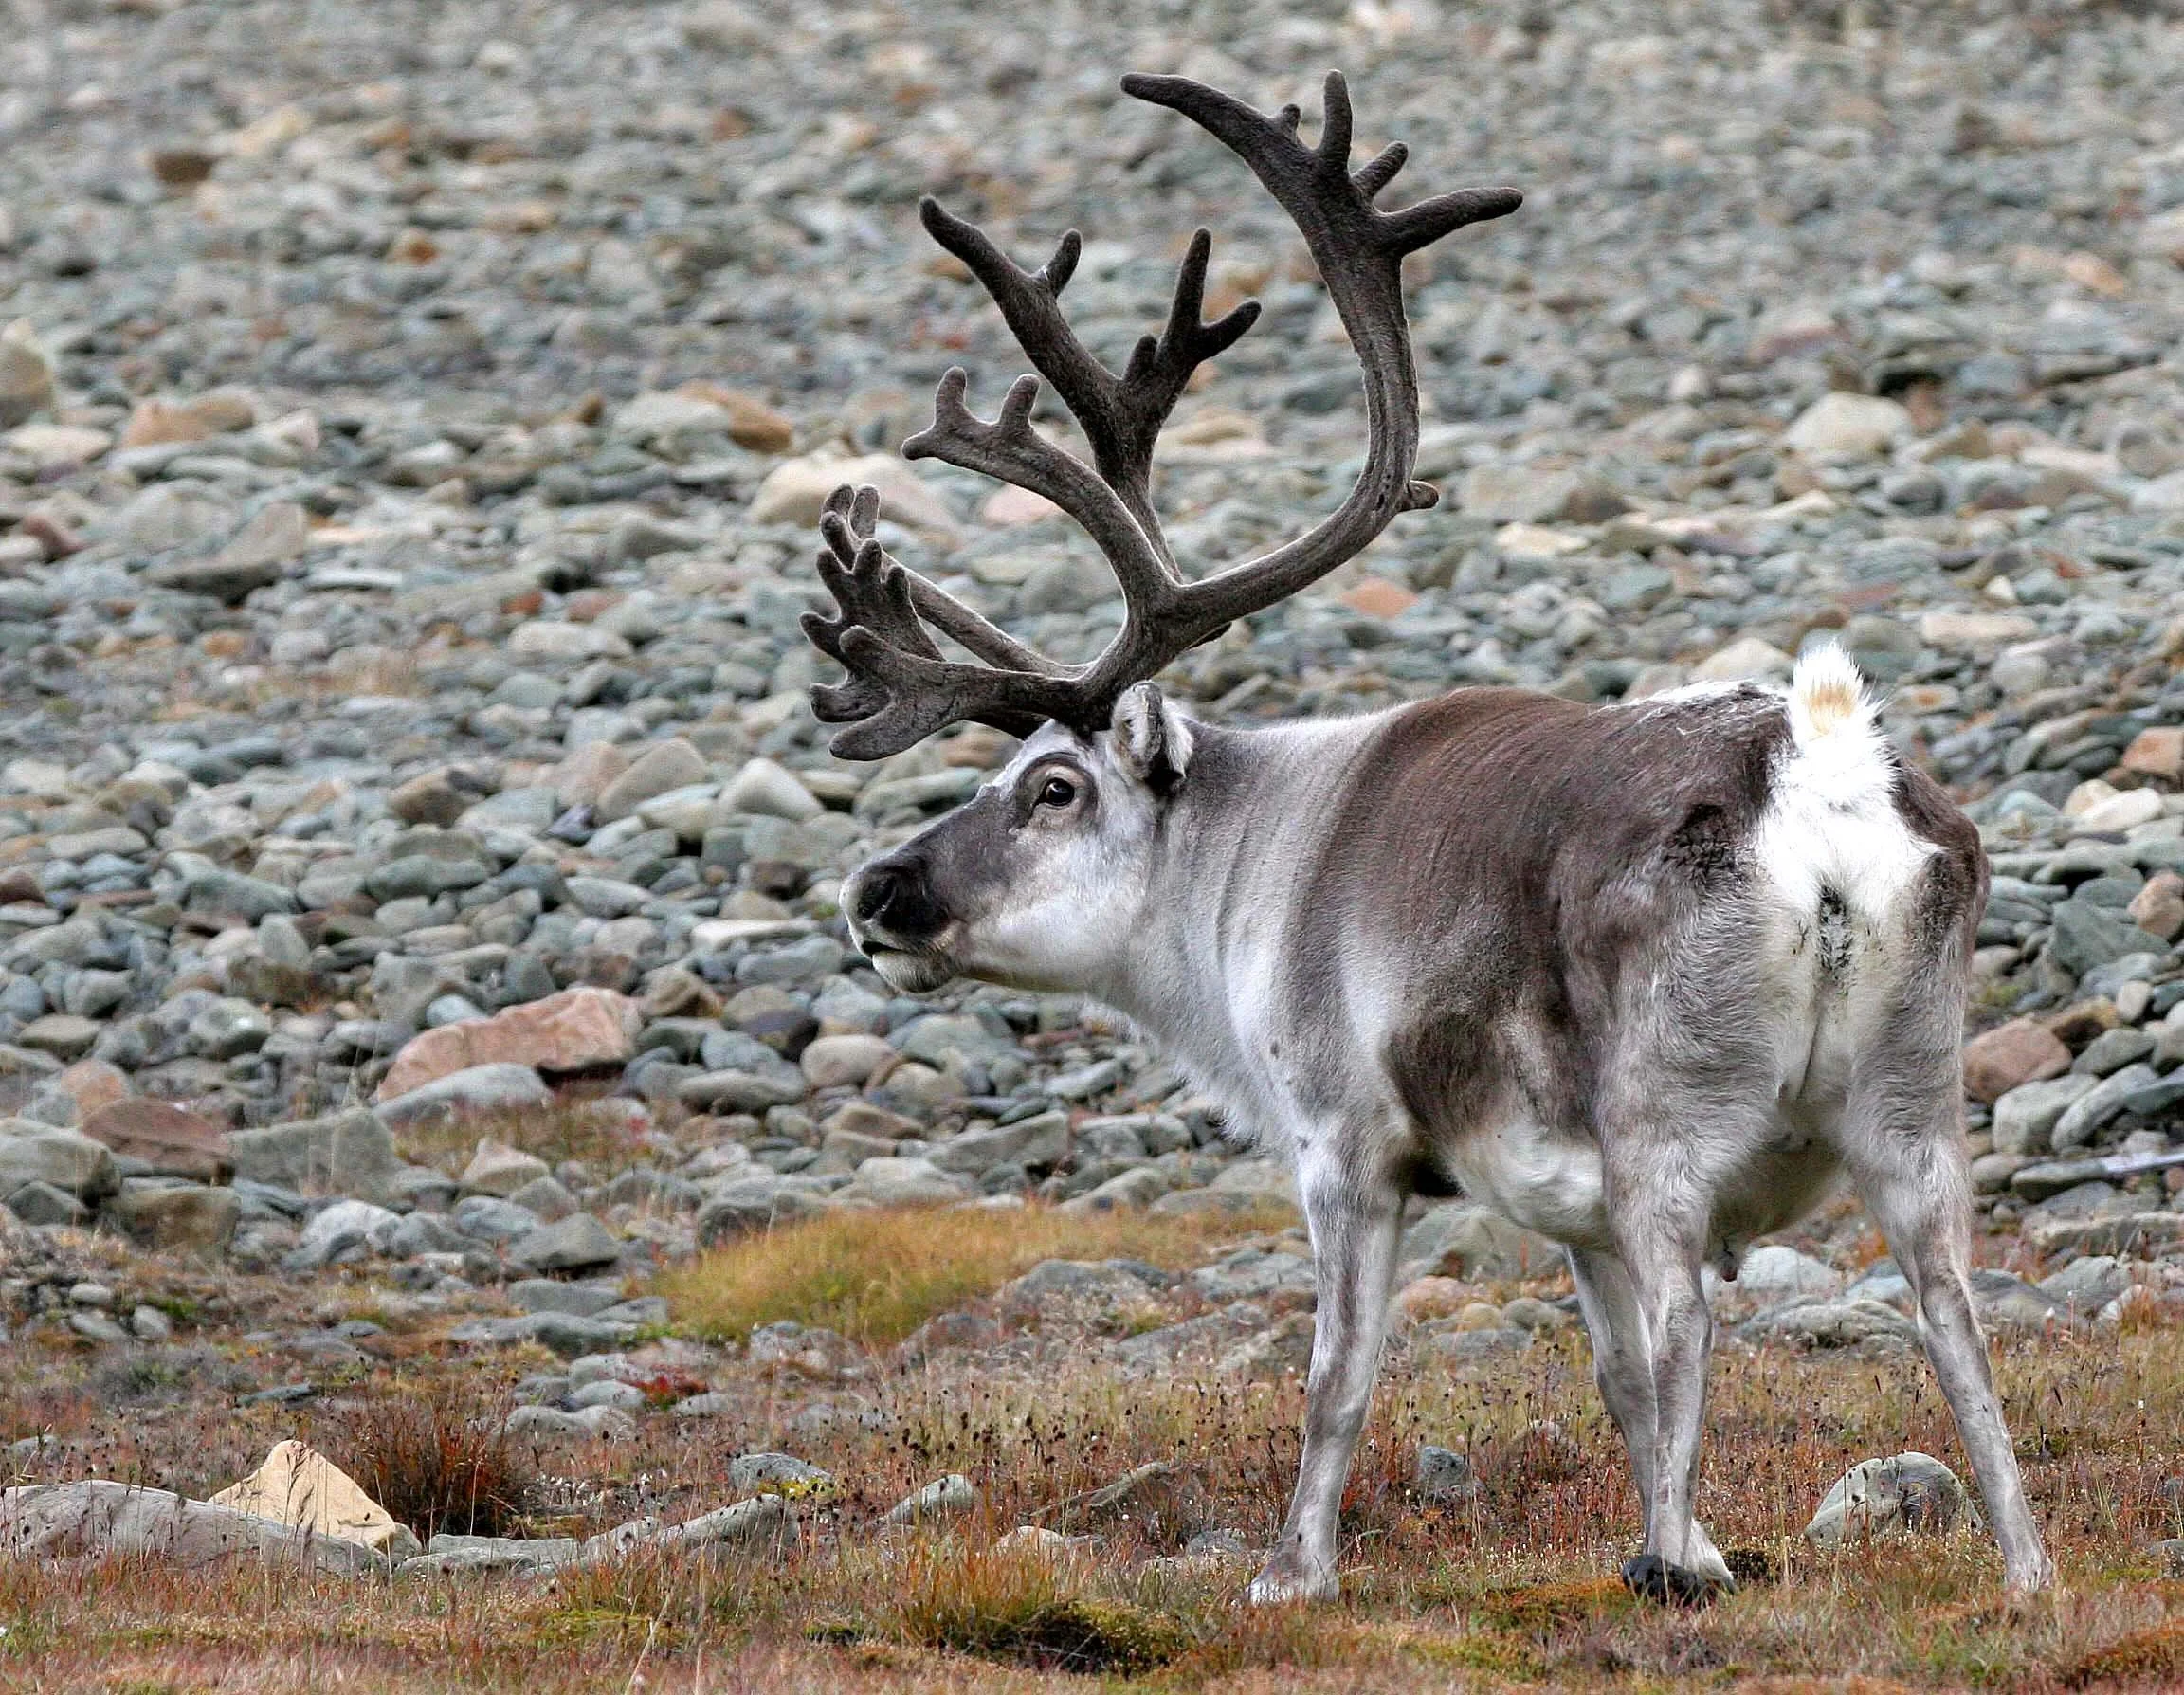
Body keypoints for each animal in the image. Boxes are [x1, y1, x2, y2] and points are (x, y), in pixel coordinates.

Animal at [798, 69, 2054, 1607]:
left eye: (1051, 786)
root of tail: (1819, 776)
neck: (1251, 869)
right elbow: (1615, 1379)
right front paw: (1699, 1538)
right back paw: (2018, 1576)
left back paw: (1664, 1575)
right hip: (1913, 1104)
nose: (877, 889)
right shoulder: (1568, 1211)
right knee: (1955, 1318)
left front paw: (1293, 1573)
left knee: (1697, 1310)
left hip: (1673, 1108)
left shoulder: (1346, 1142)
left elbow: (1341, 1374)